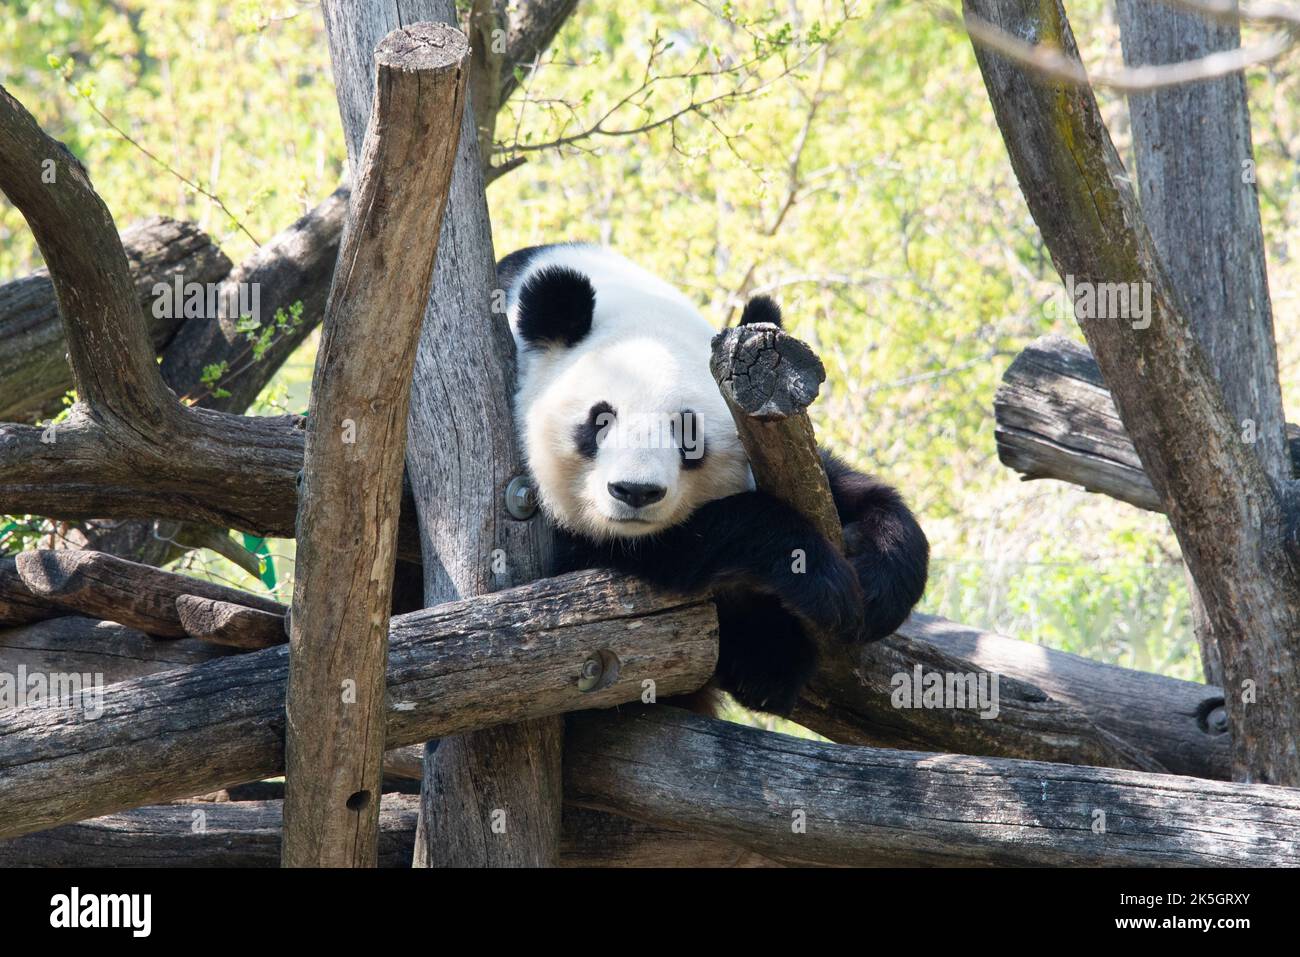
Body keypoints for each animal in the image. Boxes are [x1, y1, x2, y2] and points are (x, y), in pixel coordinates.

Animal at [500, 243, 928, 716]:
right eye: (600, 419)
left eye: (687, 432)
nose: (635, 492)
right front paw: (821, 578)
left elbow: (851, 492)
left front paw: (878, 582)